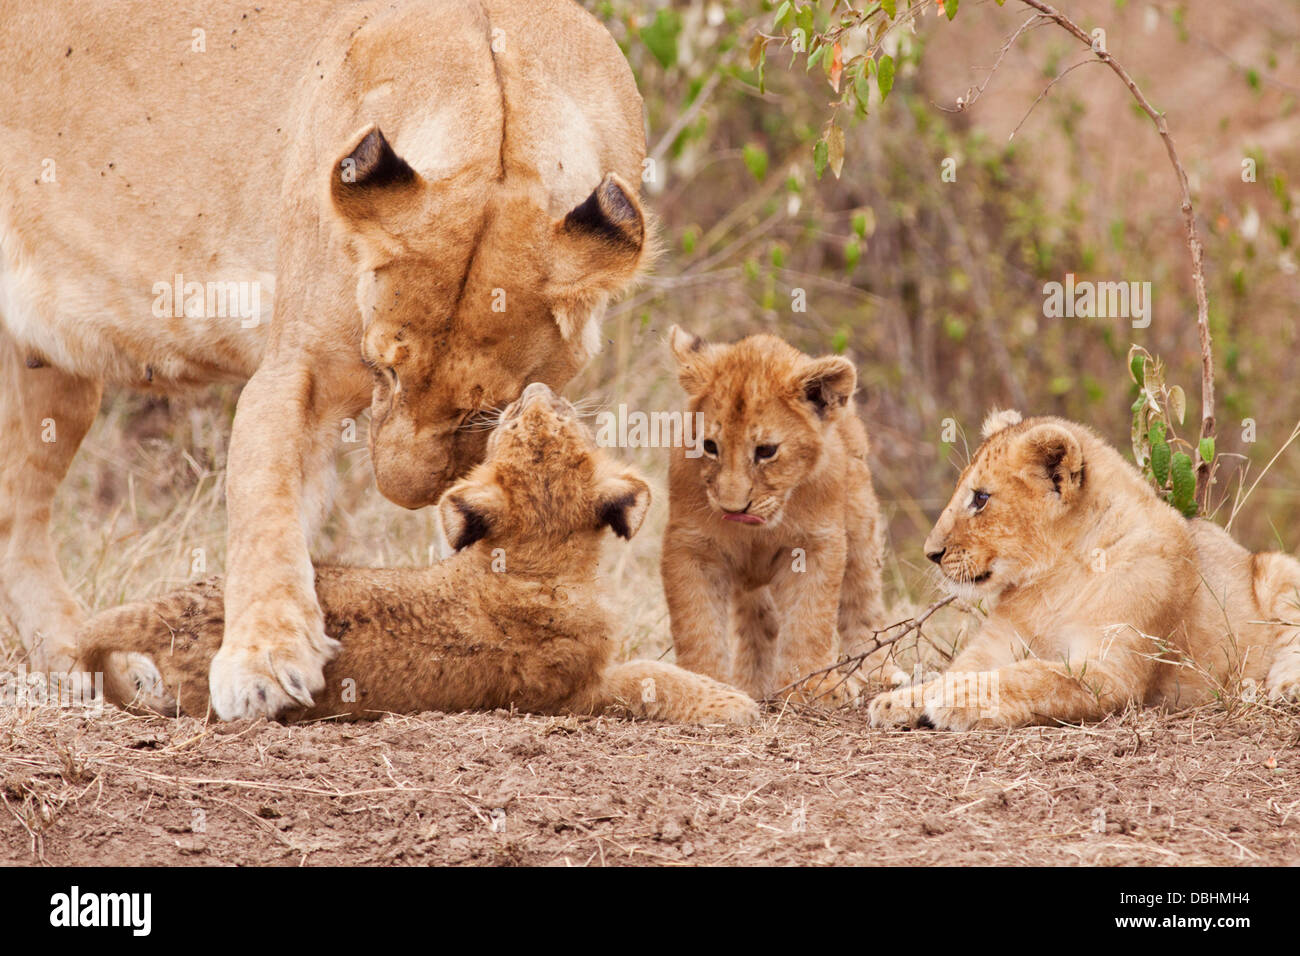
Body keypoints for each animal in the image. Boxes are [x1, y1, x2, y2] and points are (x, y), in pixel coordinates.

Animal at [0, 0, 649, 720]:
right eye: (386, 369)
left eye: (486, 408)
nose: (402, 494)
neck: (502, 111)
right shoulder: (297, 369)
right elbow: (267, 500)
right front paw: (264, 658)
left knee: (14, 520)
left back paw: (92, 674)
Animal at [74, 383, 759, 726]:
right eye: (517, 419)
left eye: (540, 419)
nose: (536, 385)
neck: (533, 559)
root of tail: (168, 606)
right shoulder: (568, 695)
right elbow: (650, 677)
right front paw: (735, 705)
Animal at [660, 326, 902, 704]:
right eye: (710, 446)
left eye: (766, 451)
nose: (733, 508)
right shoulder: (689, 546)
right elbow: (696, 623)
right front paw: (702, 681)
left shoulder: (815, 544)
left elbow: (810, 619)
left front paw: (815, 686)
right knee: (760, 621)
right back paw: (754, 683)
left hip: (861, 524)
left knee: (862, 599)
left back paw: (881, 672)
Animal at [869, 409, 1300, 731]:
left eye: (980, 498)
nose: (931, 553)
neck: (1052, 580)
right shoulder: (996, 644)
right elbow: (952, 671)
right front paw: (898, 700)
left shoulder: (1110, 674)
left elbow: (1036, 676)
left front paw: (963, 697)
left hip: (1278, 570)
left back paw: (1285, 687)